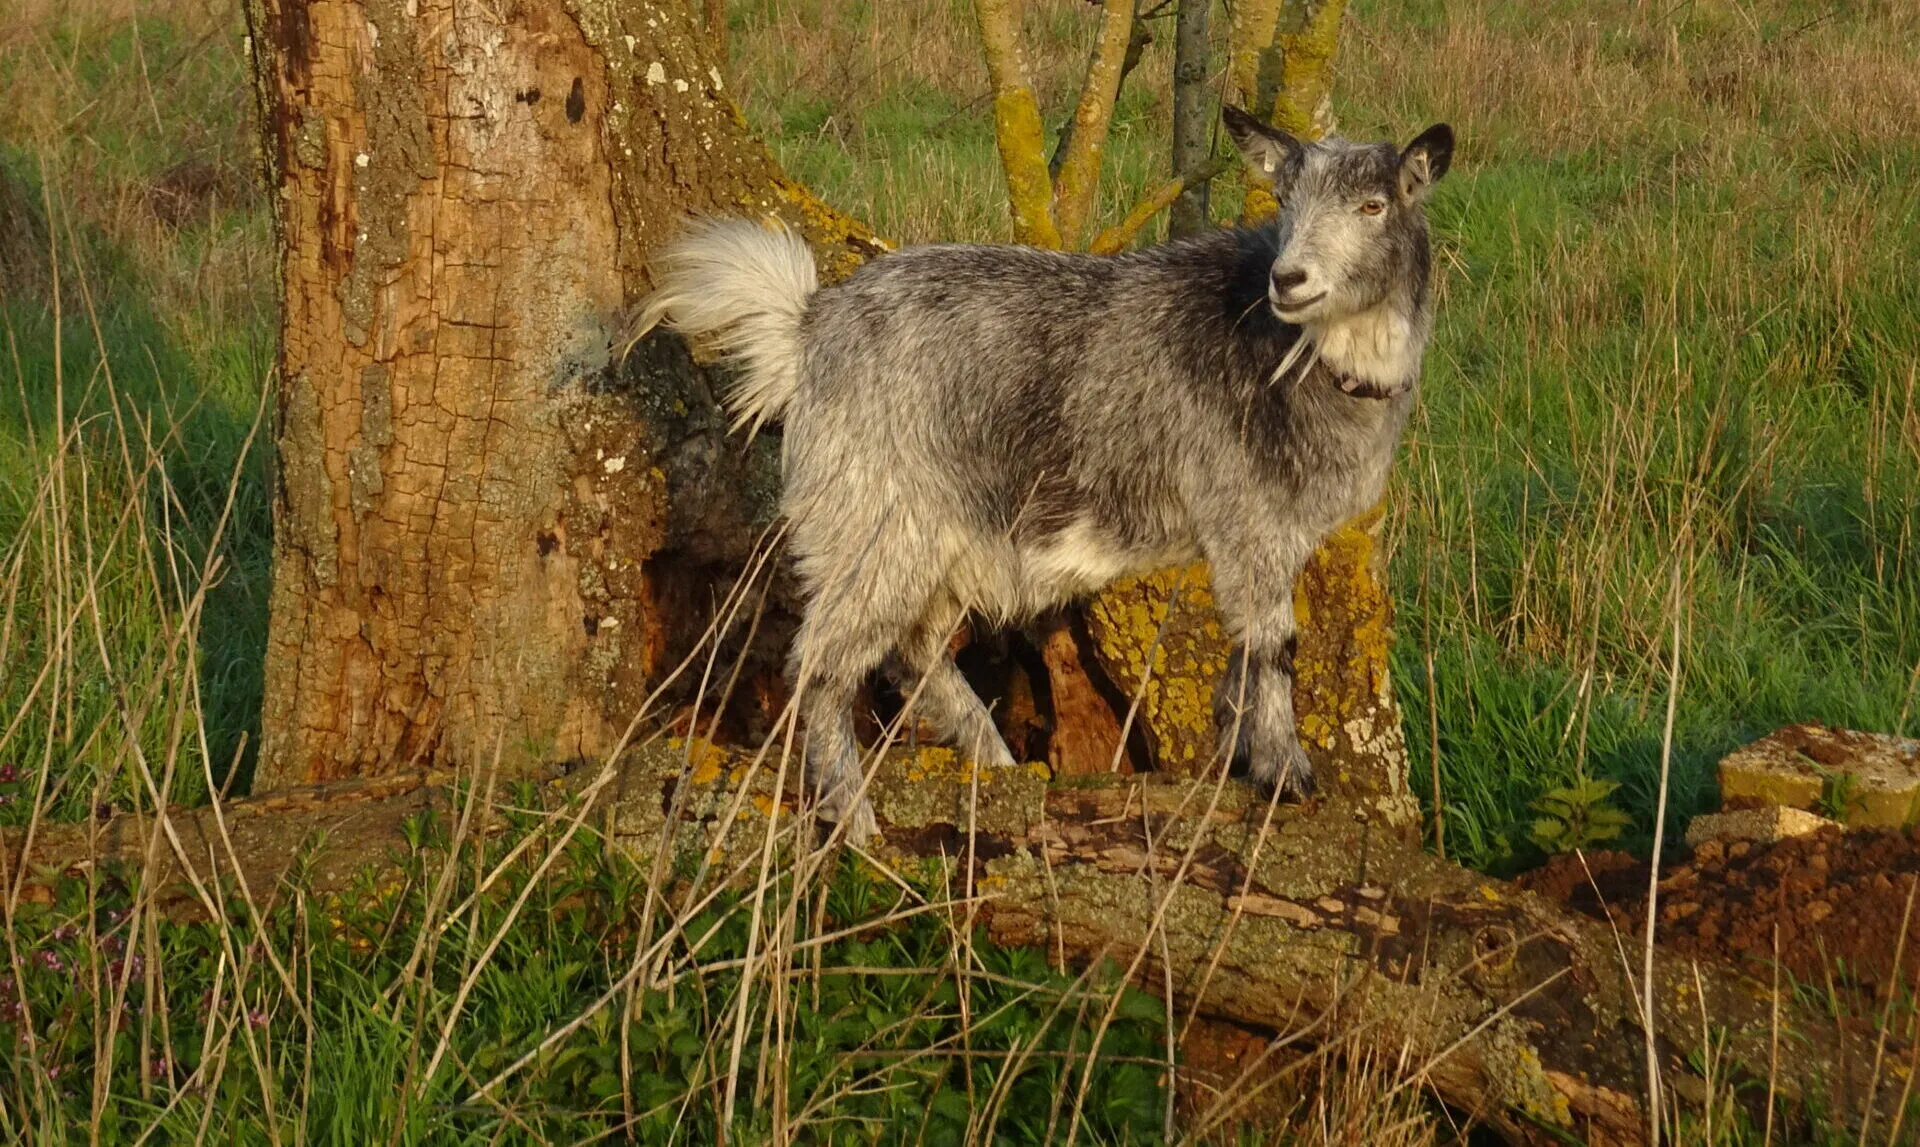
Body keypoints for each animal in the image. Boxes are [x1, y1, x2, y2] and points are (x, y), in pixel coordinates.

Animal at [632, 106, 1454, 841]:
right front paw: (1288, 773)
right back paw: (855, 820)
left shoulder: (1267, 536)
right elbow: (1274, 647)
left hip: (935, 535)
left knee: (915, 651)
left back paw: (993, 758)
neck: (1298, 356)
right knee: (823, 664)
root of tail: (807, 326)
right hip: (872, 520)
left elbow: (1249, 652)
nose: (1290, 279)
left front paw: (1239, 745)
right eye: (1285, 202)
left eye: (1374, 204)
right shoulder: (1247, 522)